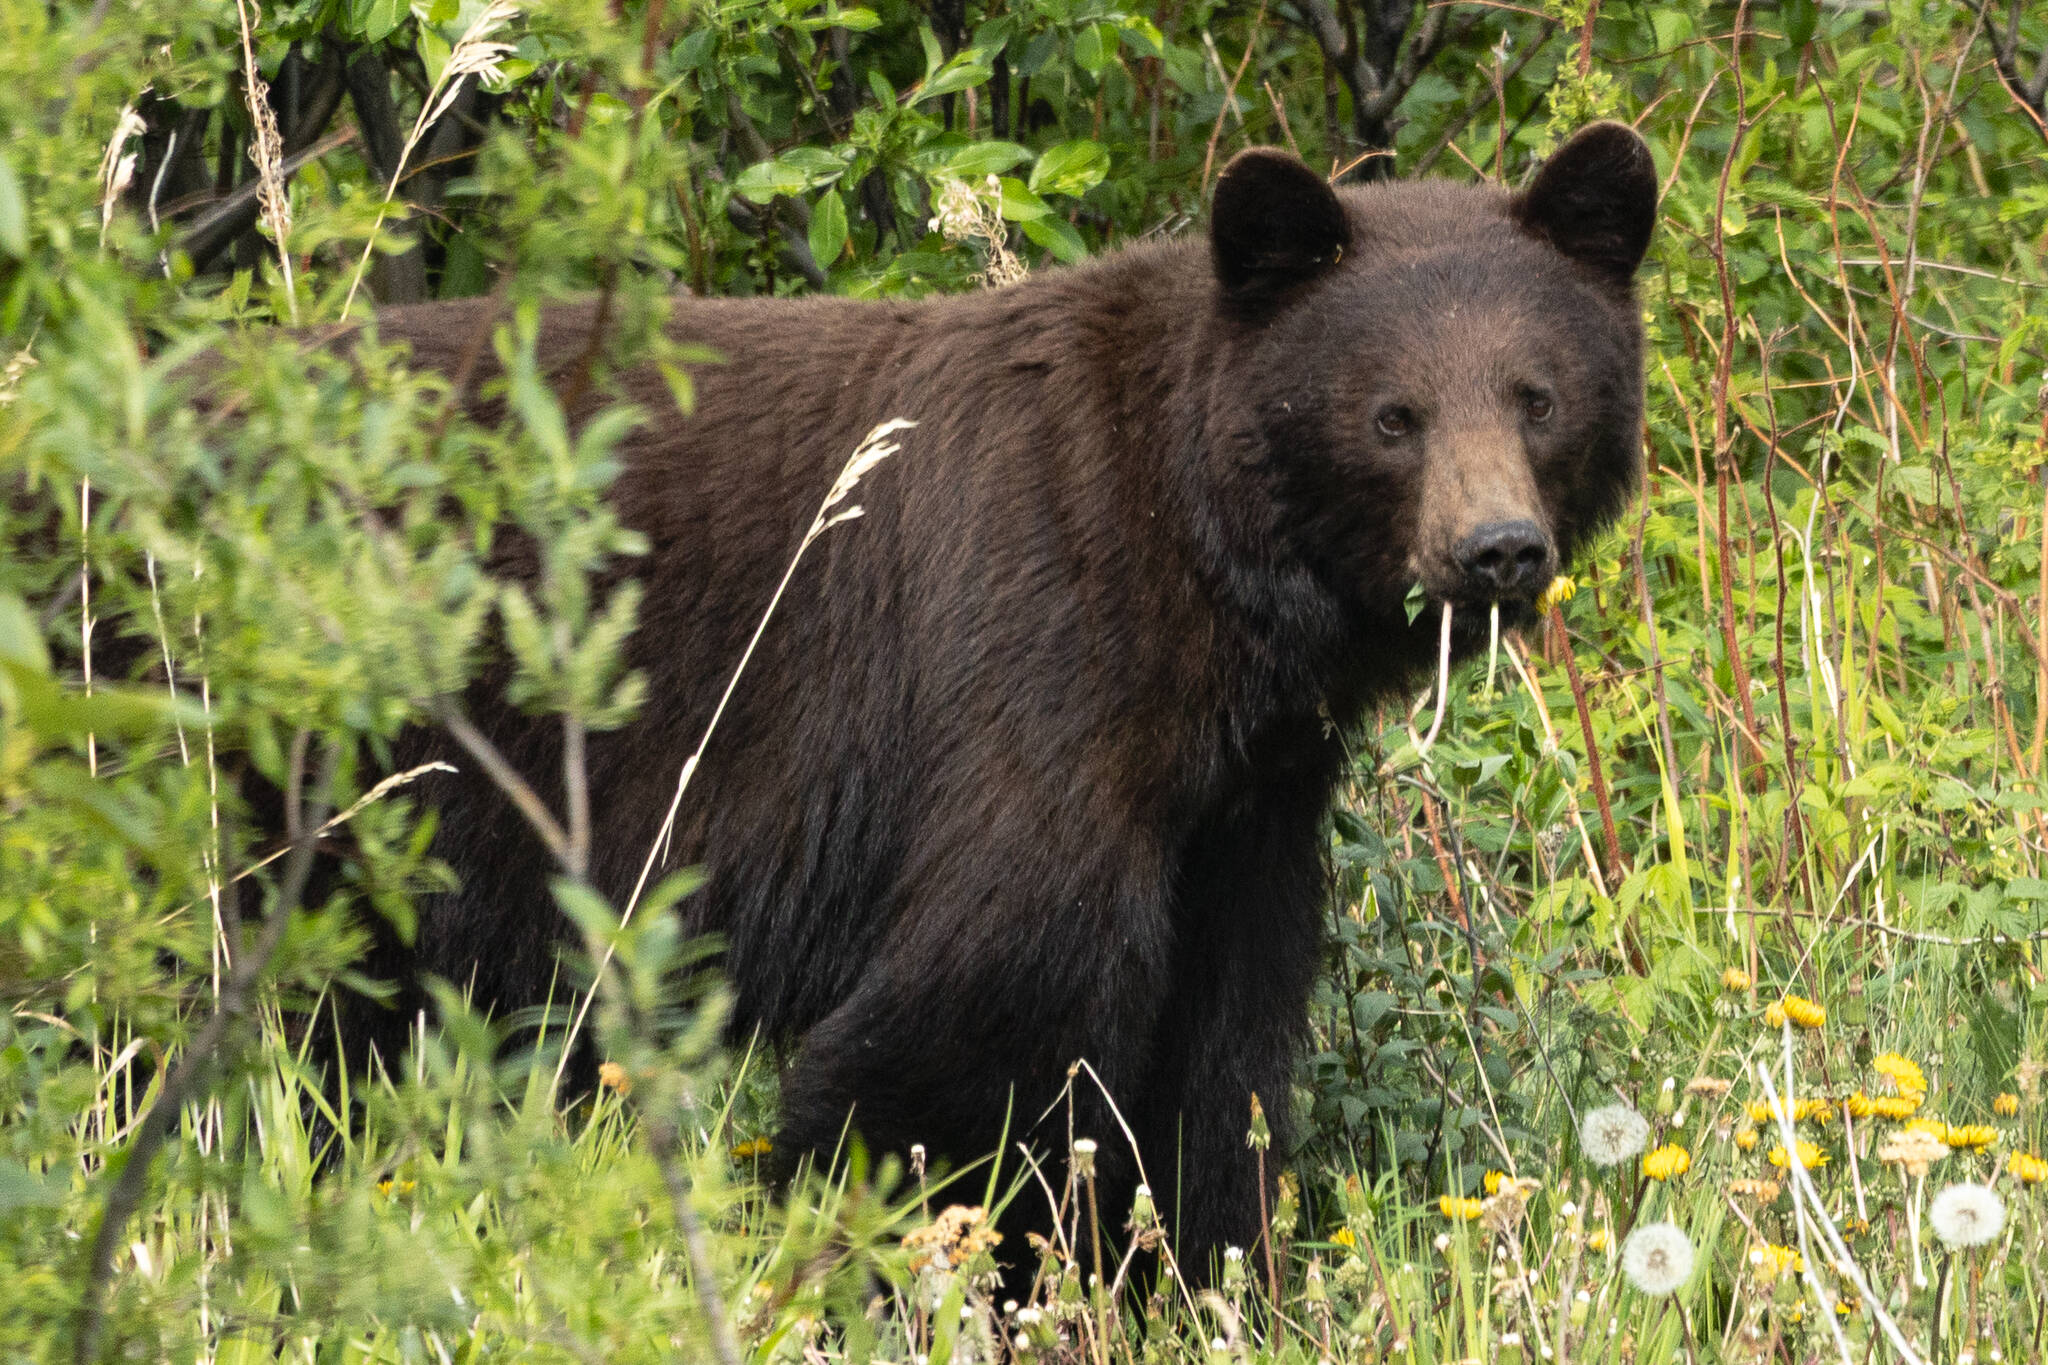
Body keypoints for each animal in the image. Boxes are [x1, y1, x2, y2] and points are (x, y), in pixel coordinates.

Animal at [338, 119, 1657, 1287]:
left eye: (1536, 397)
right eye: (1392, 416)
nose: (1496, 549)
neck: (1196, 560)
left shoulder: (1242, 801)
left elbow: (1220, 1037)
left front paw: (1202, 1270)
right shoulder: (1033, 655)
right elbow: (987, 999)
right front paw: (886, 1259)